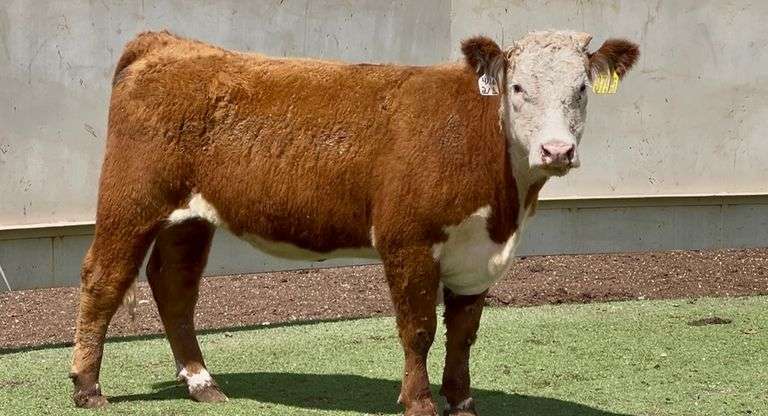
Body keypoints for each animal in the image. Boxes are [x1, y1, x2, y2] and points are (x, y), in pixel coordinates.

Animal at [70, 30, 638, 415]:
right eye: (517, 87)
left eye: (582, 88)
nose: (557, 151)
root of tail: (168, 43)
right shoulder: (407, 240)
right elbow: (419, 329)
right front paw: (419, 403)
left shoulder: (478, 255)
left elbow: (463, 334)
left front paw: (462, 403)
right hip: (131, 201)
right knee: (103, 279)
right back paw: (88, 387)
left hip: (188, 218)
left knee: (175, 288)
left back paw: (202, 383)